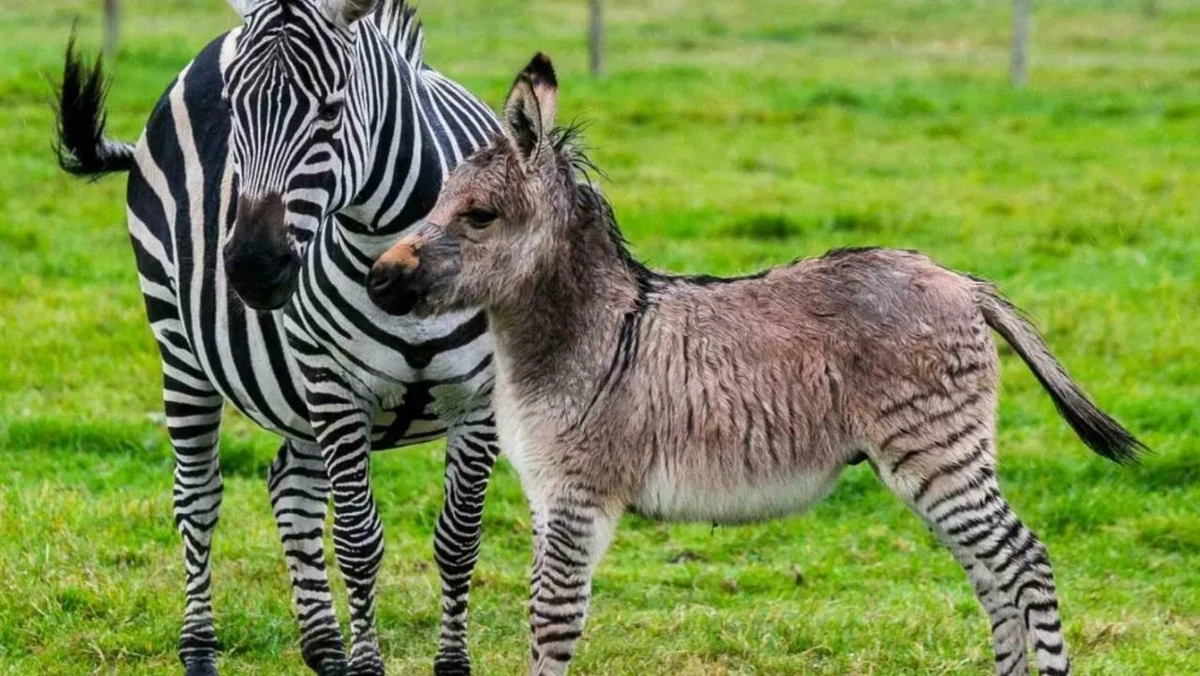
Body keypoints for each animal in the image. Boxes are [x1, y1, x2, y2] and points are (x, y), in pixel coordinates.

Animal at [53, 1, 501, 674]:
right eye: (234, 106)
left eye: (331, 109)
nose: (252, 268)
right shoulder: (338, 389)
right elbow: (358, 542)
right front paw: (367, 665)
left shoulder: (479, 400)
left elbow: (458, 540)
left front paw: (448, 663)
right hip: (180, 343)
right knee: (199, 498)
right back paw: (200, 649)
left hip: (298, 391)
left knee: (291, 489)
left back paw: (325, 649)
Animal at [367, 54, 1147, 675]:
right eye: (437, 202)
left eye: (480, 216)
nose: (378, 278)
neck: (584, 333)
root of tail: (963, 281)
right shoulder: (548, 499)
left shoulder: (576, 496)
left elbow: (550, 625)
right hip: (937, 462)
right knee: (992, 575)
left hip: (938, 452)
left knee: (1023, 561)